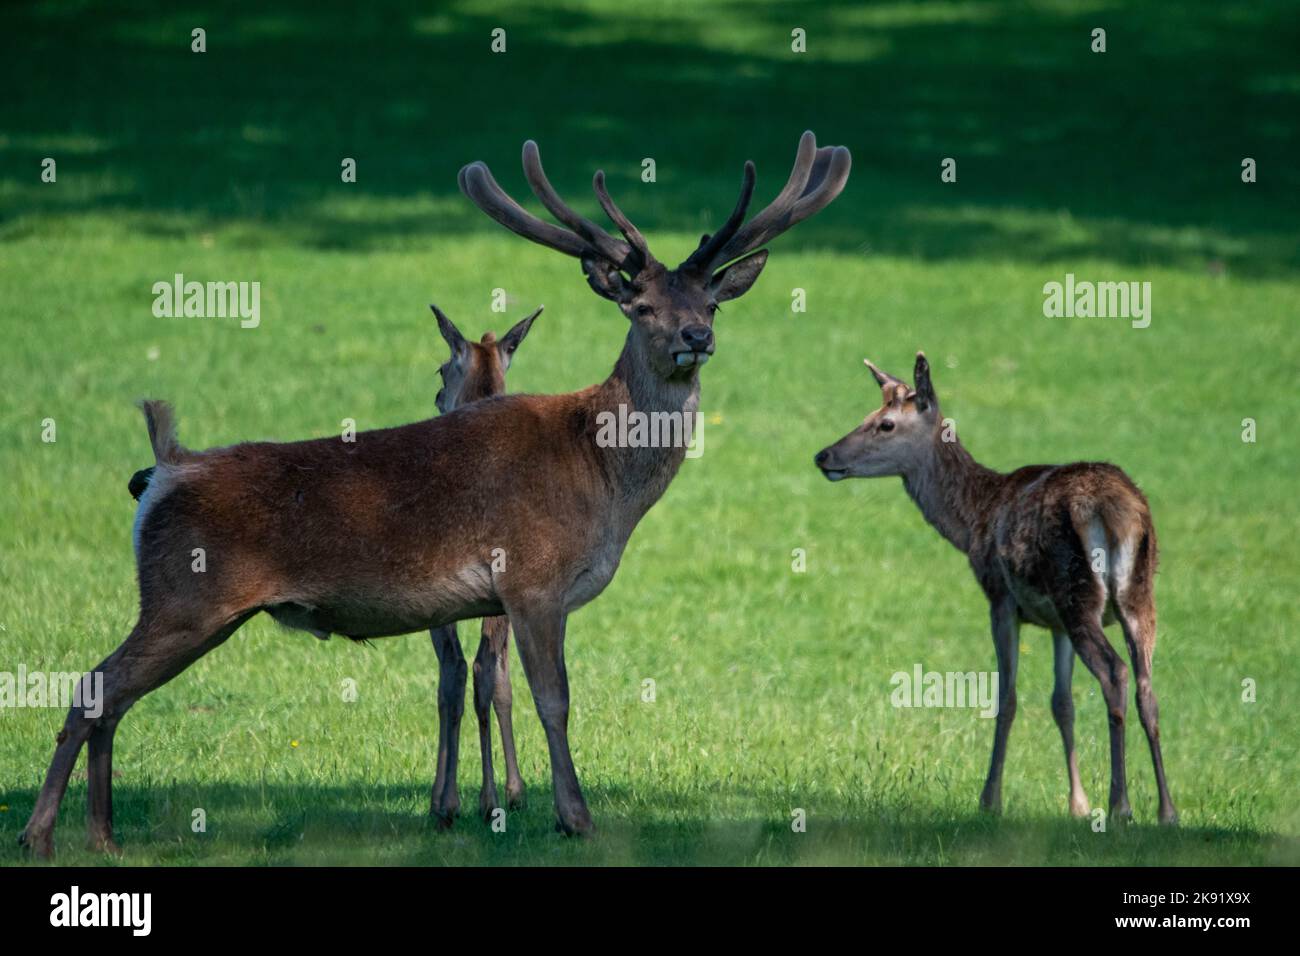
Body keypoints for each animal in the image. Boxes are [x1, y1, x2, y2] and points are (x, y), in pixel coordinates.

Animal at [20, 131, 850, 856]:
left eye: (712, 304)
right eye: (640, 305)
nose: (694, 339)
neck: (606, 484)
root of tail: (160, 470)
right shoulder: (531, 580)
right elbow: (554, 698)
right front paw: (574, 817)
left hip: (185, 606)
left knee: (111, 697)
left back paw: (103, 836)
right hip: (185, 595)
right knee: (93, 686)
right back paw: (40, 835)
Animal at [813, 353, 1177, 826]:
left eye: (885, 424)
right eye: (866, 416)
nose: (823, 455)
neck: (974, 521)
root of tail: (1115, 512)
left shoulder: (1000, 598)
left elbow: (1006, 697)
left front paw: (990, 798)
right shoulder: (1054, 623)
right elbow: (1062, 703)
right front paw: (1077, 804)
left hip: (1078, 593)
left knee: (1114, 673)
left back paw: (1121, 806)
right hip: (1137, 596)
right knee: (1147, 689)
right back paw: (1167, 810)